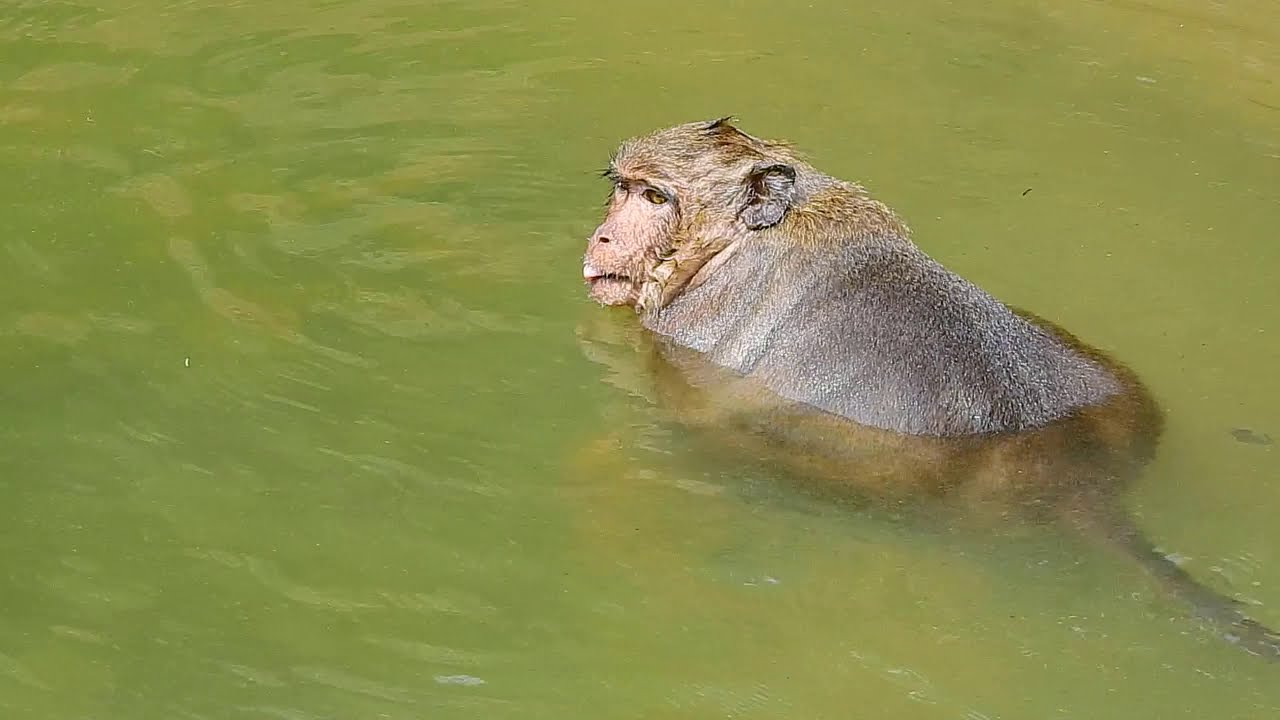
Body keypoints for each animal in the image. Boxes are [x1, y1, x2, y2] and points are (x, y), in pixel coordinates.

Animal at [579, 117, 1280, 660]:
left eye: (654, 197)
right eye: (624, 189)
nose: (604, 235)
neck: (734, 241)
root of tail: (1080, 476)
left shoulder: (690, 324)